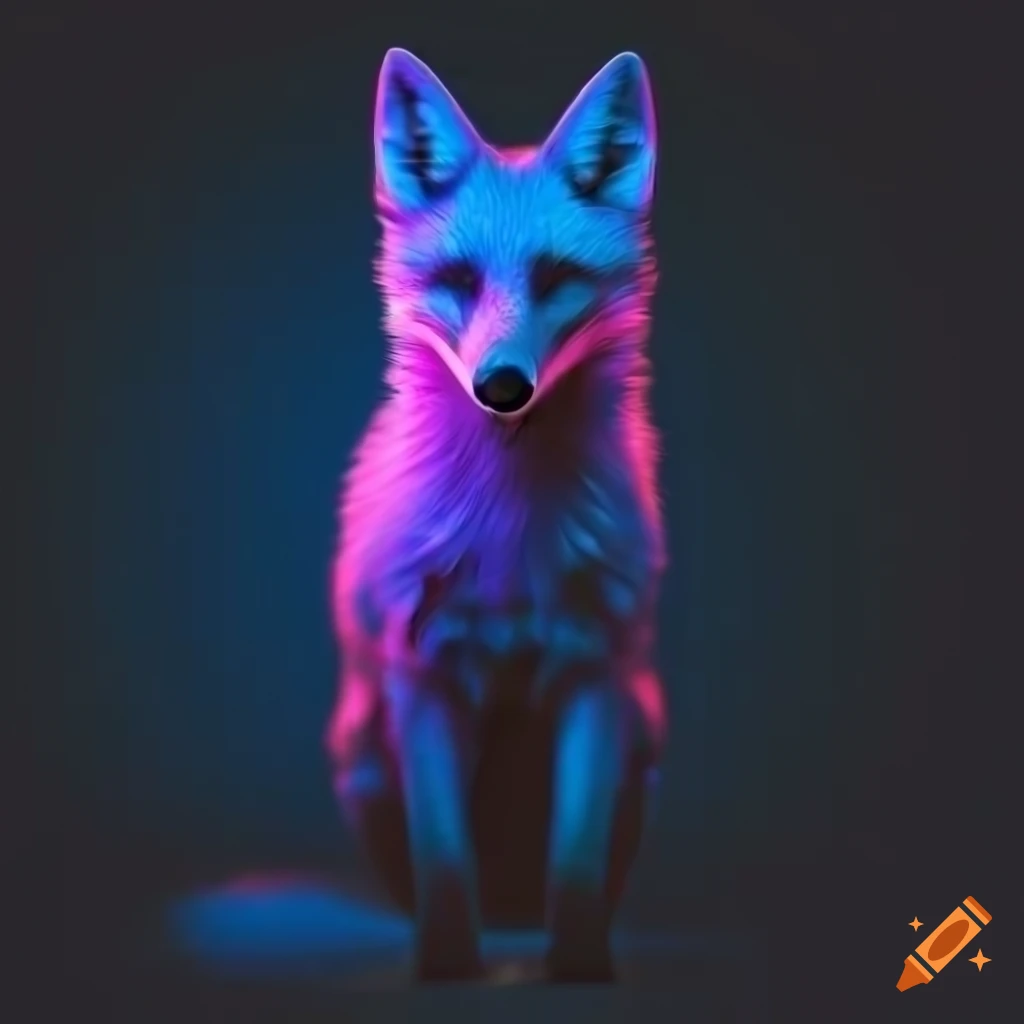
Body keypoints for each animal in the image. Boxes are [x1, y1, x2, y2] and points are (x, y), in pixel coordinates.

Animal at [326, 48, 667, 983]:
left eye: (556, 278)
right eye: (459, 281)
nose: (503, 387)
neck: (512, 541)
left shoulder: (597, 673)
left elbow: (575, 857)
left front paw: (580, 967)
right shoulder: (422, 677)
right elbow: (445, 860)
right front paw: (447, 966)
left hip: (644, 732)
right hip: (363, 756)